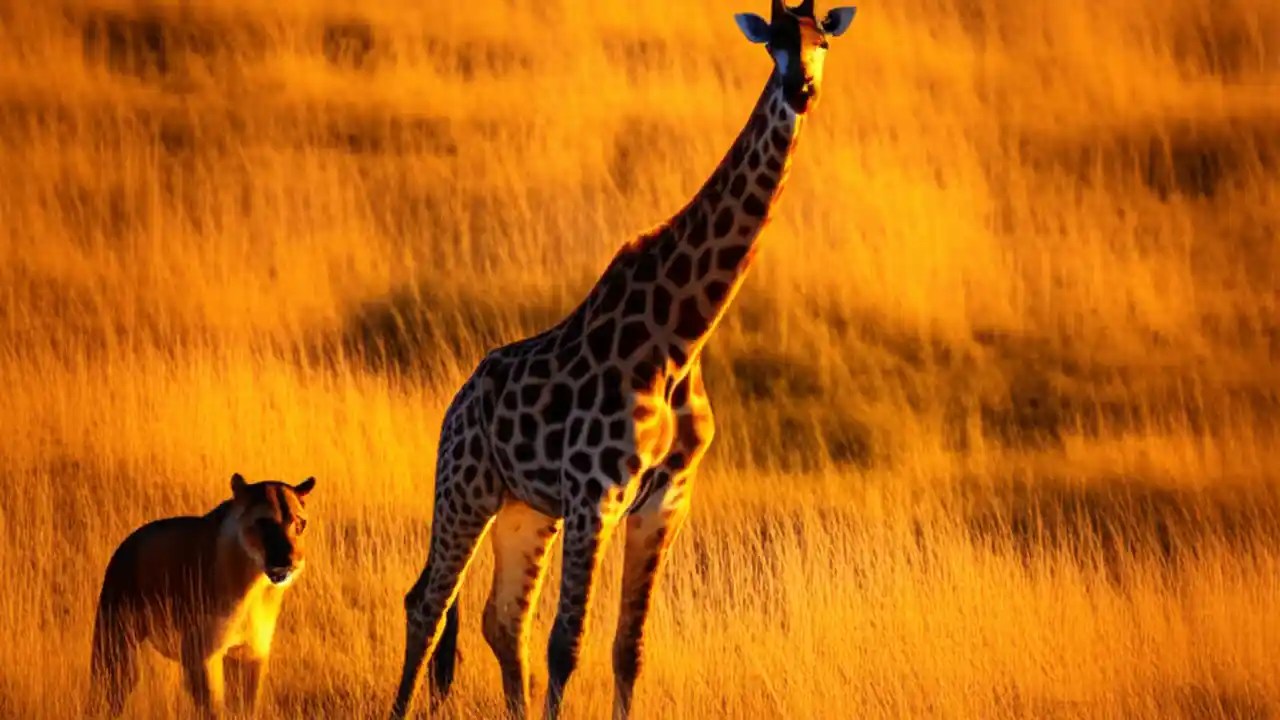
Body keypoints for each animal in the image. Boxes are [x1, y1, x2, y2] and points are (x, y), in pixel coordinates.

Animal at [389, 2, 857, 718]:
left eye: (822, 40)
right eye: (774, 43)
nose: (800, 89)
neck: (682, 338)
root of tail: (457, 402)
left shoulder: (664, 500)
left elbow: (627, 651)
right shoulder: (596, 496)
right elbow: (567, 646)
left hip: (527, 509)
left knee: (503, 620)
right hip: (465, 487)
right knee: (428, 604)